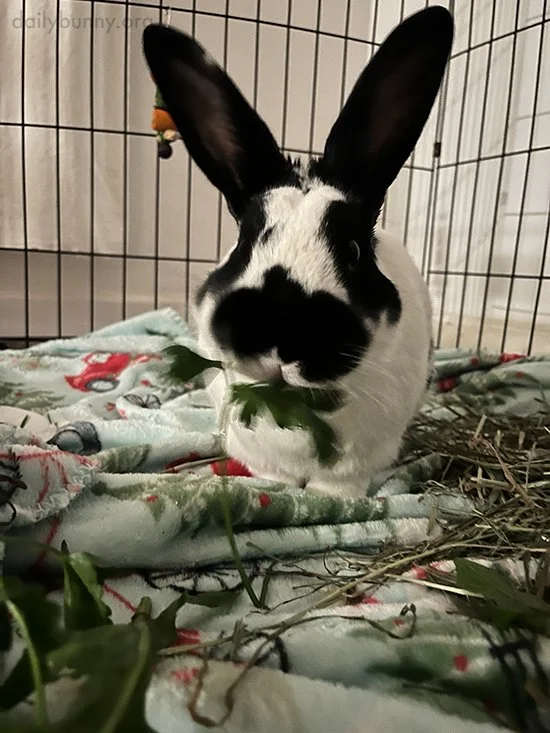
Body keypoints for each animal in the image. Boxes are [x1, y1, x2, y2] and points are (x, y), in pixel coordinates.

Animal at [142, 7, 454, 499]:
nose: (278, 335)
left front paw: (330, 503)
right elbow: (274, 476)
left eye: (353, 250)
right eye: (245, 240)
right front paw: (276, 493)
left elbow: (337, 488)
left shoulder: (357, 462)